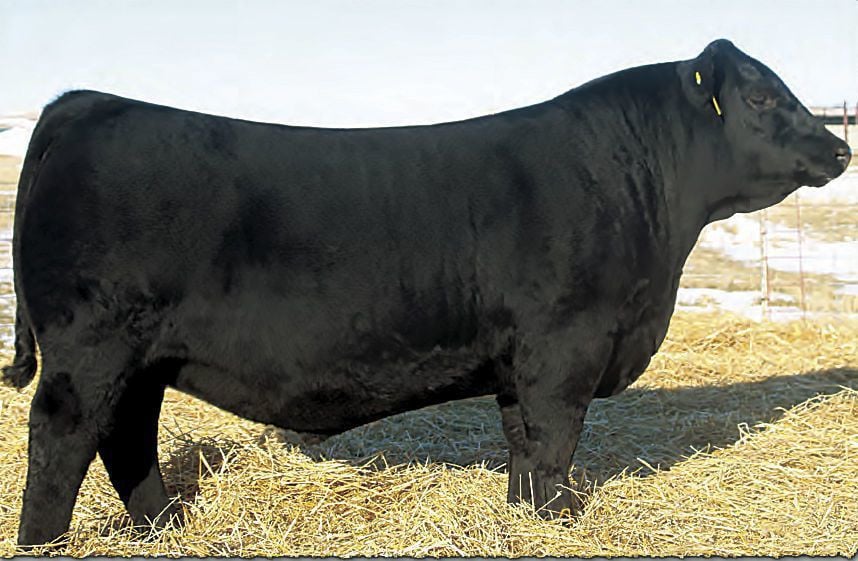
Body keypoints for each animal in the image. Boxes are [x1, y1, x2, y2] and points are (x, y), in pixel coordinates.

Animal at [2, 39, 851, 547]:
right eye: (761, 98)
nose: (839, 147)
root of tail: (86, 102)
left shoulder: (518, 360)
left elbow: (522, 446)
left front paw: (523, 515)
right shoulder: (565, 348)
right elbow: (555, 444)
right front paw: (553, 519)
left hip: (140, 357)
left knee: (126, 438)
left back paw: (168, 524)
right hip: (91, 347)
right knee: (61, 439)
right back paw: (47, 542)